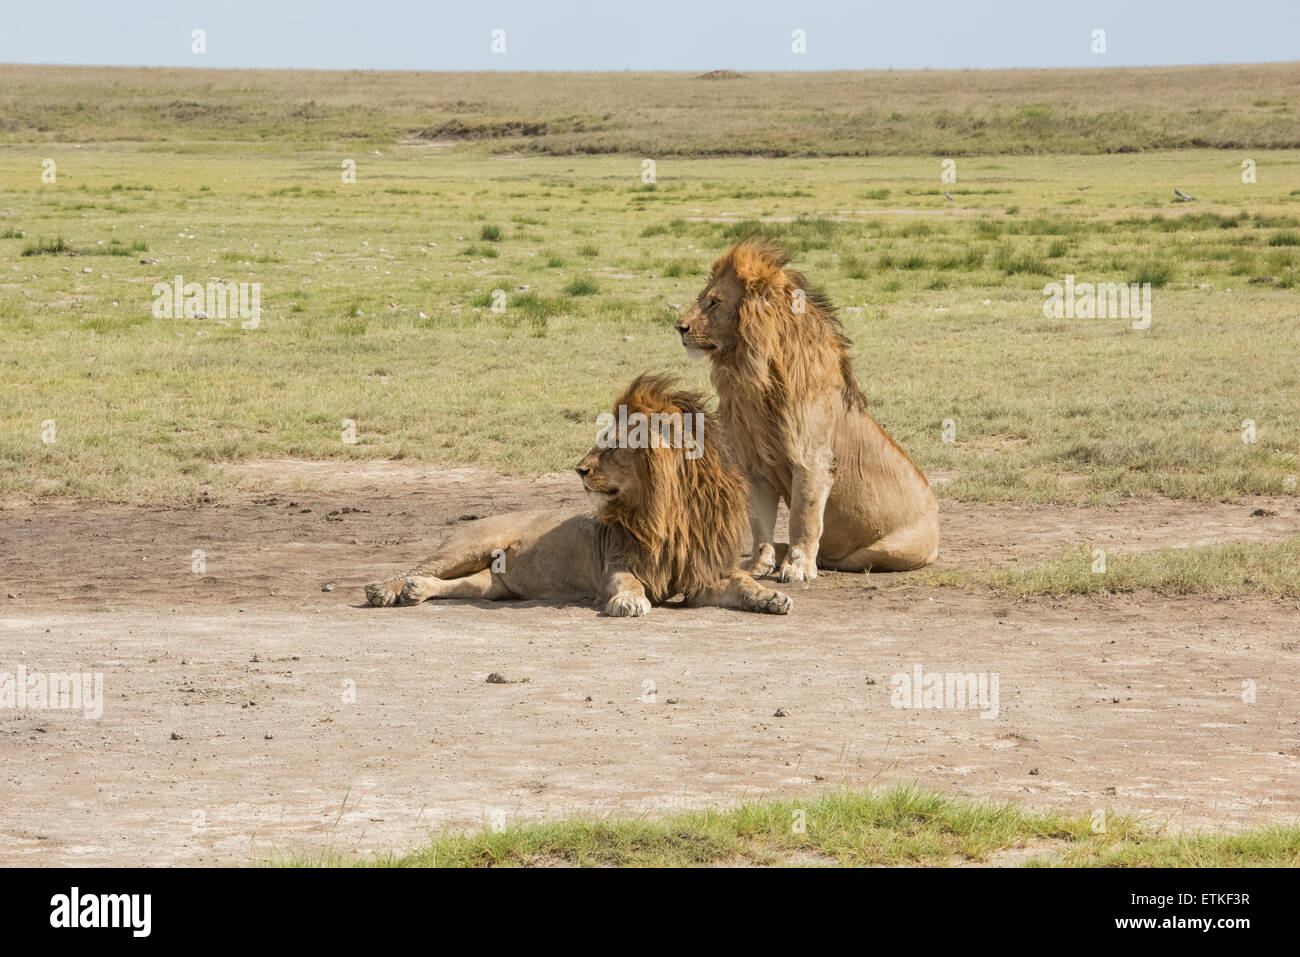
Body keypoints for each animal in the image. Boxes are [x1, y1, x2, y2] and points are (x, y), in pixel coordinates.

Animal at [363, 373, 792, 617]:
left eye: (613, 446)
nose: (579, 469)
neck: (667, 514)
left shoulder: (703, 573)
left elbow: (743, 583)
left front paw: (772, 598)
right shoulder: (618, 563)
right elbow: (627, 583)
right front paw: (630, 602)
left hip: (493, 584)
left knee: (453, 585)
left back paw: (415, 593)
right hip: (466, 546)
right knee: (418, 567)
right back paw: (383, 589)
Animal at [674, 238, 939, 581]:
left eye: (714, 302)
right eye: (701, 299)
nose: (679, 327)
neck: (754, 377)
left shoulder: (813, 462)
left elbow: (803, 517)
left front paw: (798, 567)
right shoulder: (754, 465)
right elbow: (759, 522)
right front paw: (759, 564)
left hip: (884, 552)